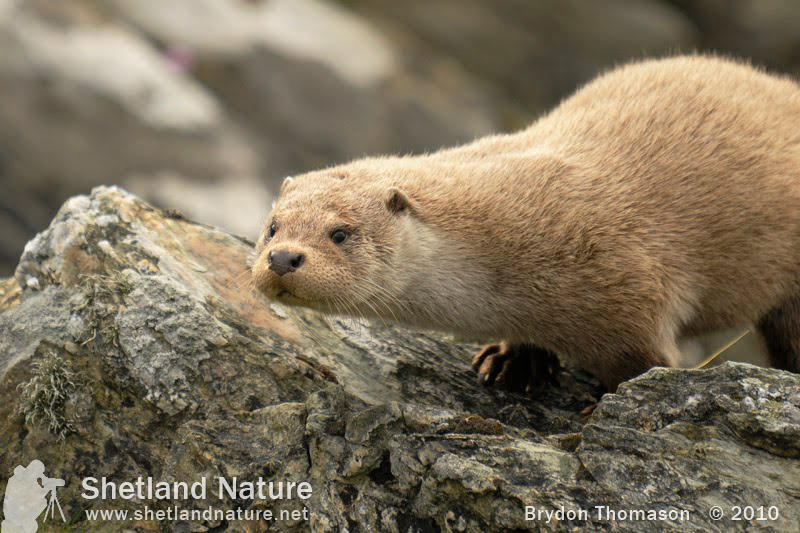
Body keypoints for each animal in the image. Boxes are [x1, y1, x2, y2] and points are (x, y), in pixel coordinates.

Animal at [251, 55, 800, 397]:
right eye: (272, 226)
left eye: (340, 233)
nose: (282, 258)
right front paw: (514, 361)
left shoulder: (634, 291)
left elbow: (647, 368)